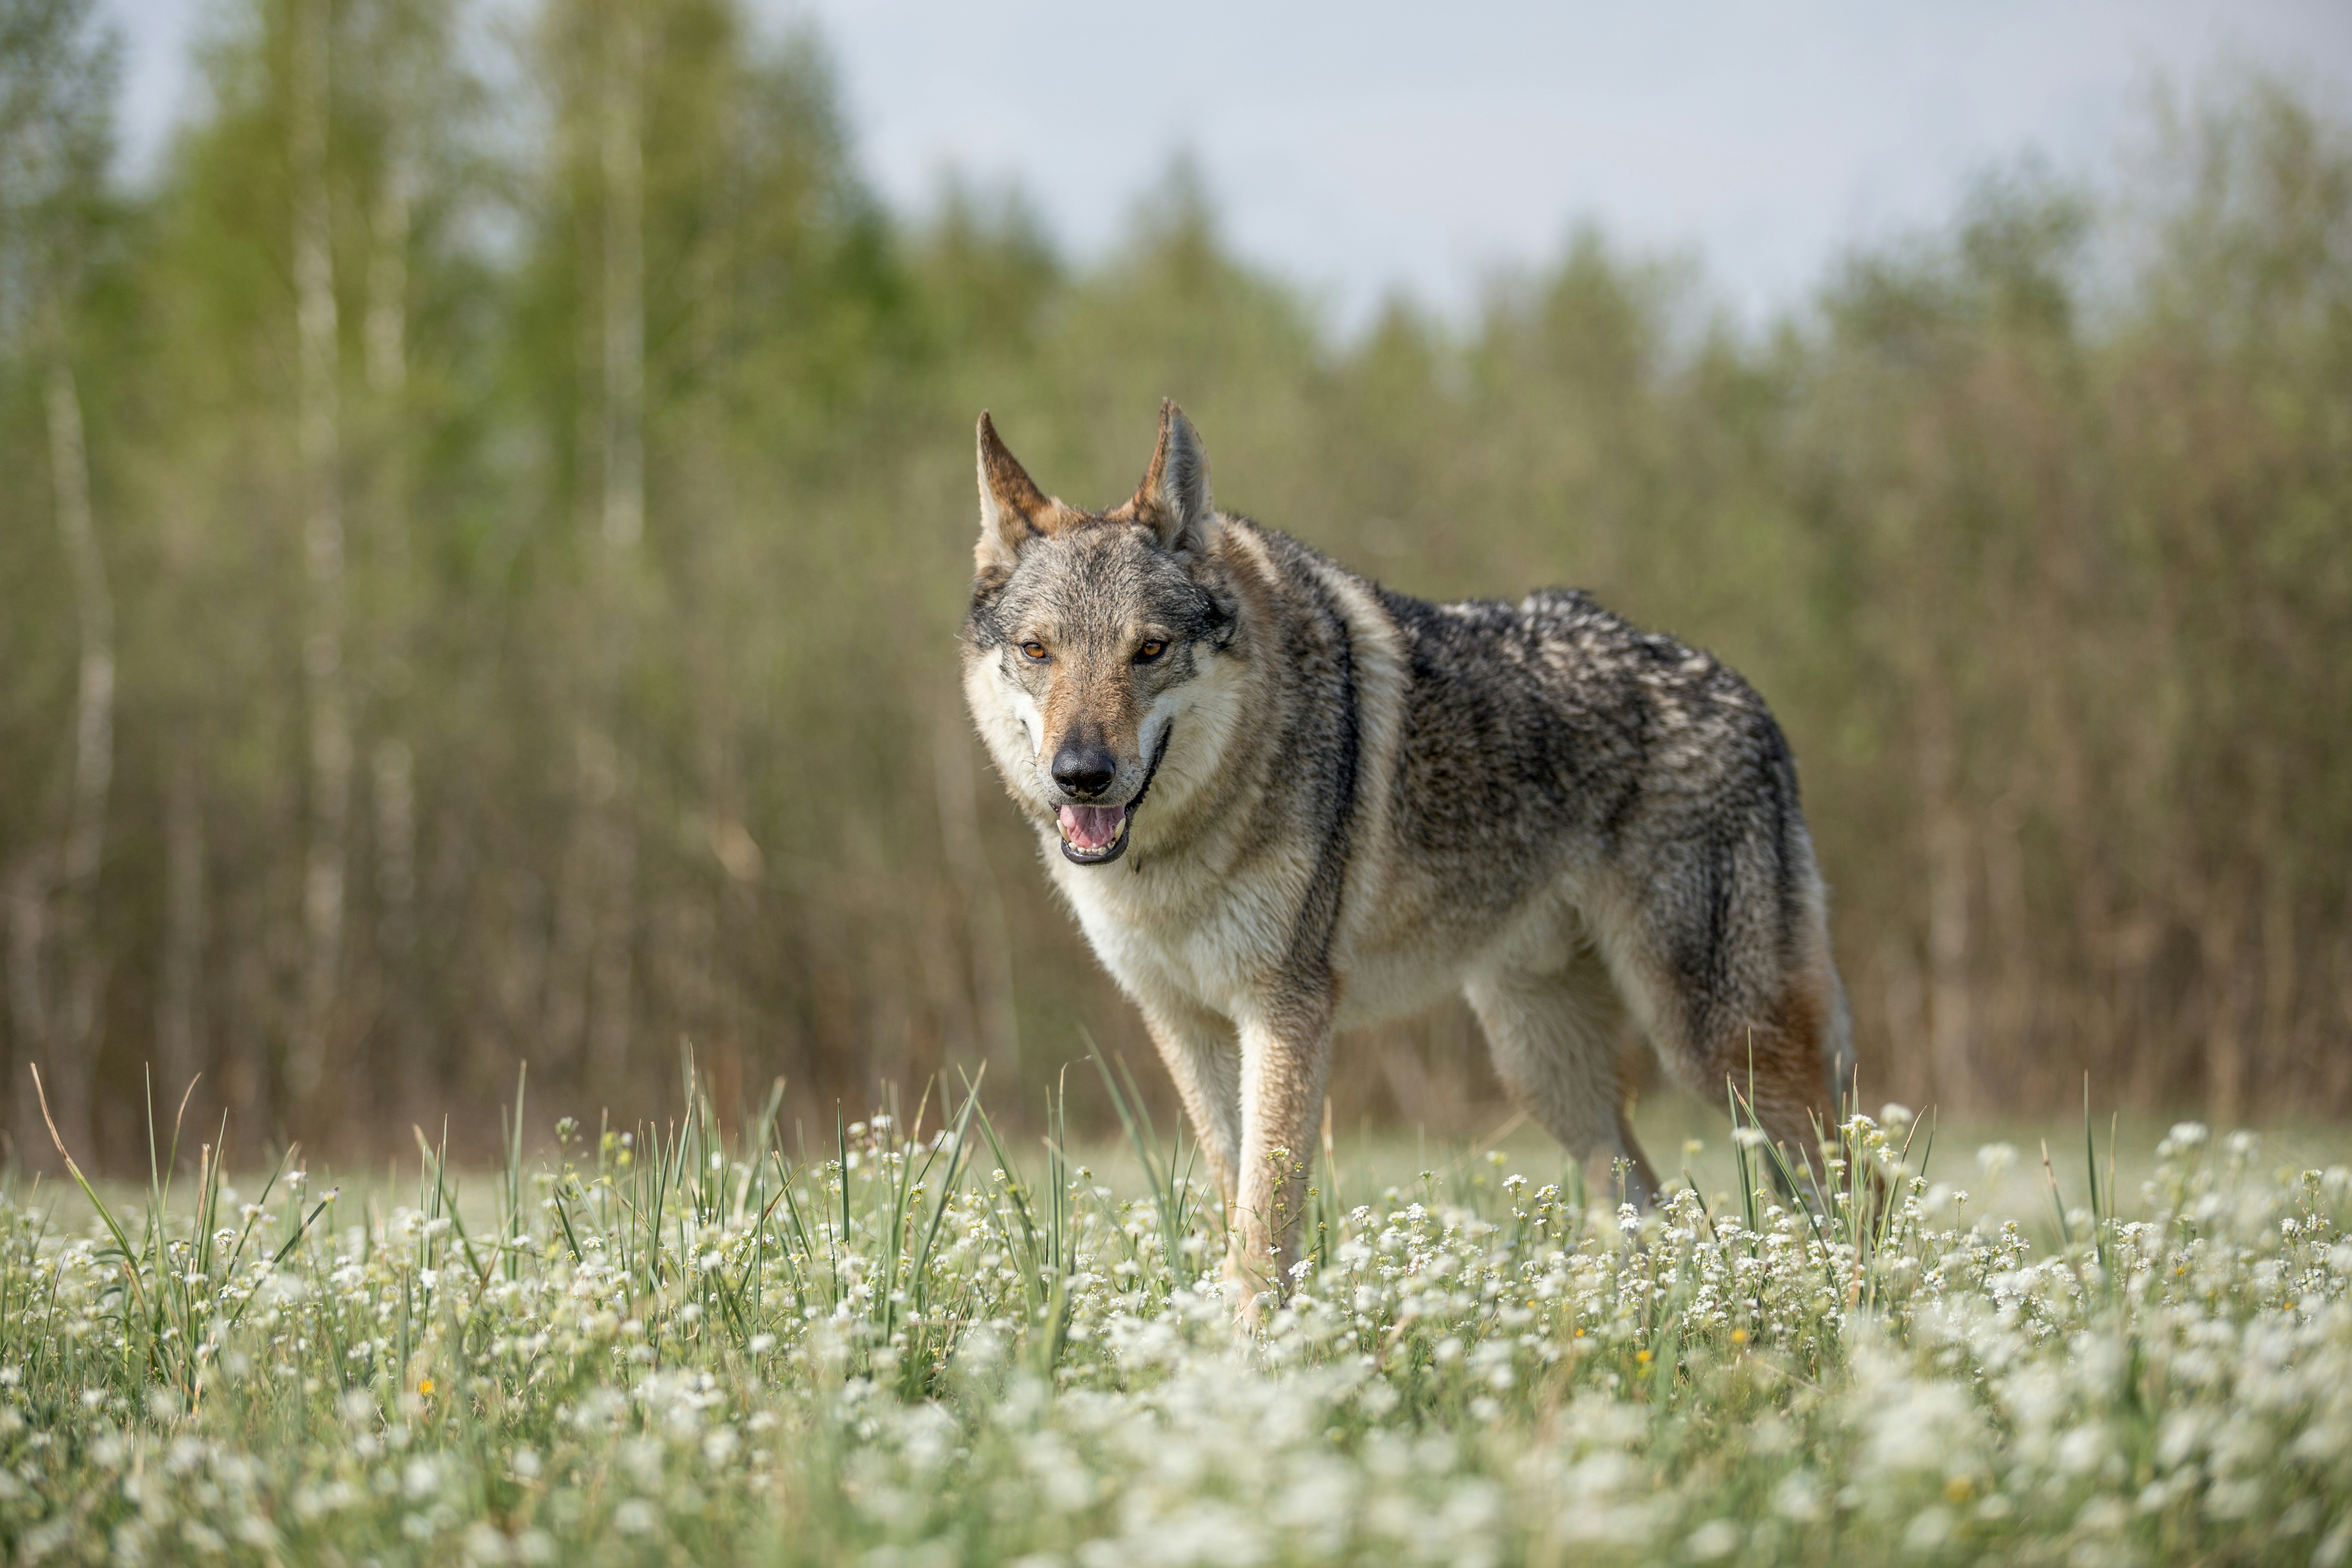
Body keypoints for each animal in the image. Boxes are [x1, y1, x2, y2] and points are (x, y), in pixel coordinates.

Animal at [961, 401, 1852, 1303]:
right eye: (1038, 651)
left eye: (1147, 650)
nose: (1081, 775)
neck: (1177, 855)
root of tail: (1747, 696)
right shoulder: (1184, 1023)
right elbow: (1236, 1200)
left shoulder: (1285, 1013)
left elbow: (1262, 1225)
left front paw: (1253, 1338)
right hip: (1542, 1062)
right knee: (1646, 1197)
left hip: (1718, 1046)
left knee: (1849, 1184)